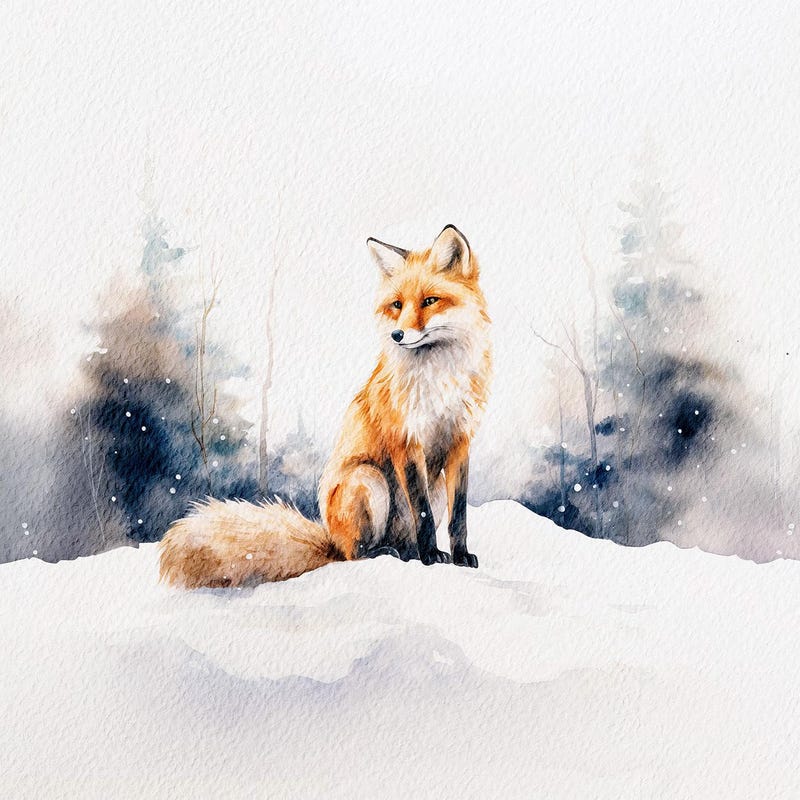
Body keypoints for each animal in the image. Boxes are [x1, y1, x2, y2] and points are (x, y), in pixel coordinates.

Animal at [159, 224, 492, 588]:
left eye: (430, 301)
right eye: (397, 305)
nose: (397, 335)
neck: (439, 379)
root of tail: (330, 539)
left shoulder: (460, 442)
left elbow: (459, 518)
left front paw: (460, 558)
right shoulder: (405, 441)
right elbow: (423, 515)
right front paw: (431, 556)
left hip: (431, 487)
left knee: (402, 544)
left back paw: (409, 554)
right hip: (368, 477)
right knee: (356, 553)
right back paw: (391, 552)